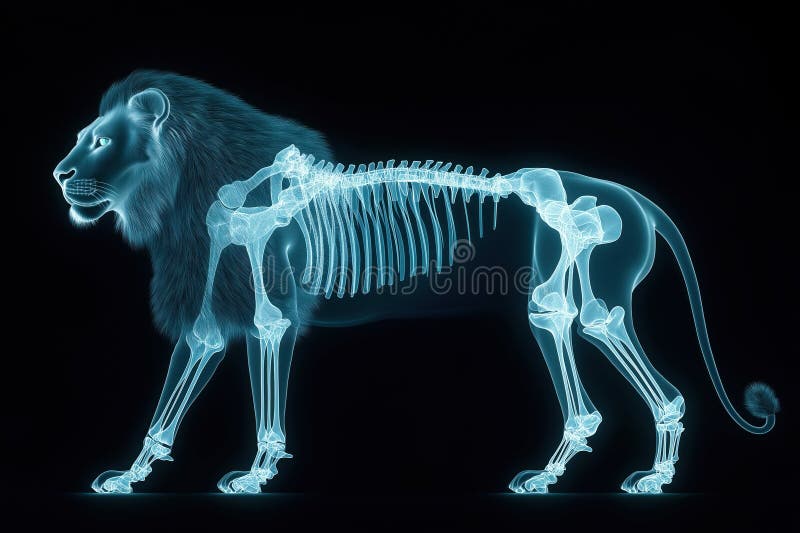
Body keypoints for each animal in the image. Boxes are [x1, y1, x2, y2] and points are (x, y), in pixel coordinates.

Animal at [54, 70, 779, 494]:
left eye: (100, 141)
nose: (61, 177)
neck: (201, 183)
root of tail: (637, 199)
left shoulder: (268, 302)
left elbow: (262, 366)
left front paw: (255, 474)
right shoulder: (211, 298)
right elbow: (187, 368)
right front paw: (126, 475)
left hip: (586, 280)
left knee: (582, 330)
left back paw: (612, 477)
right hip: (584, 290)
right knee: (583, 333)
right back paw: (610, 474)